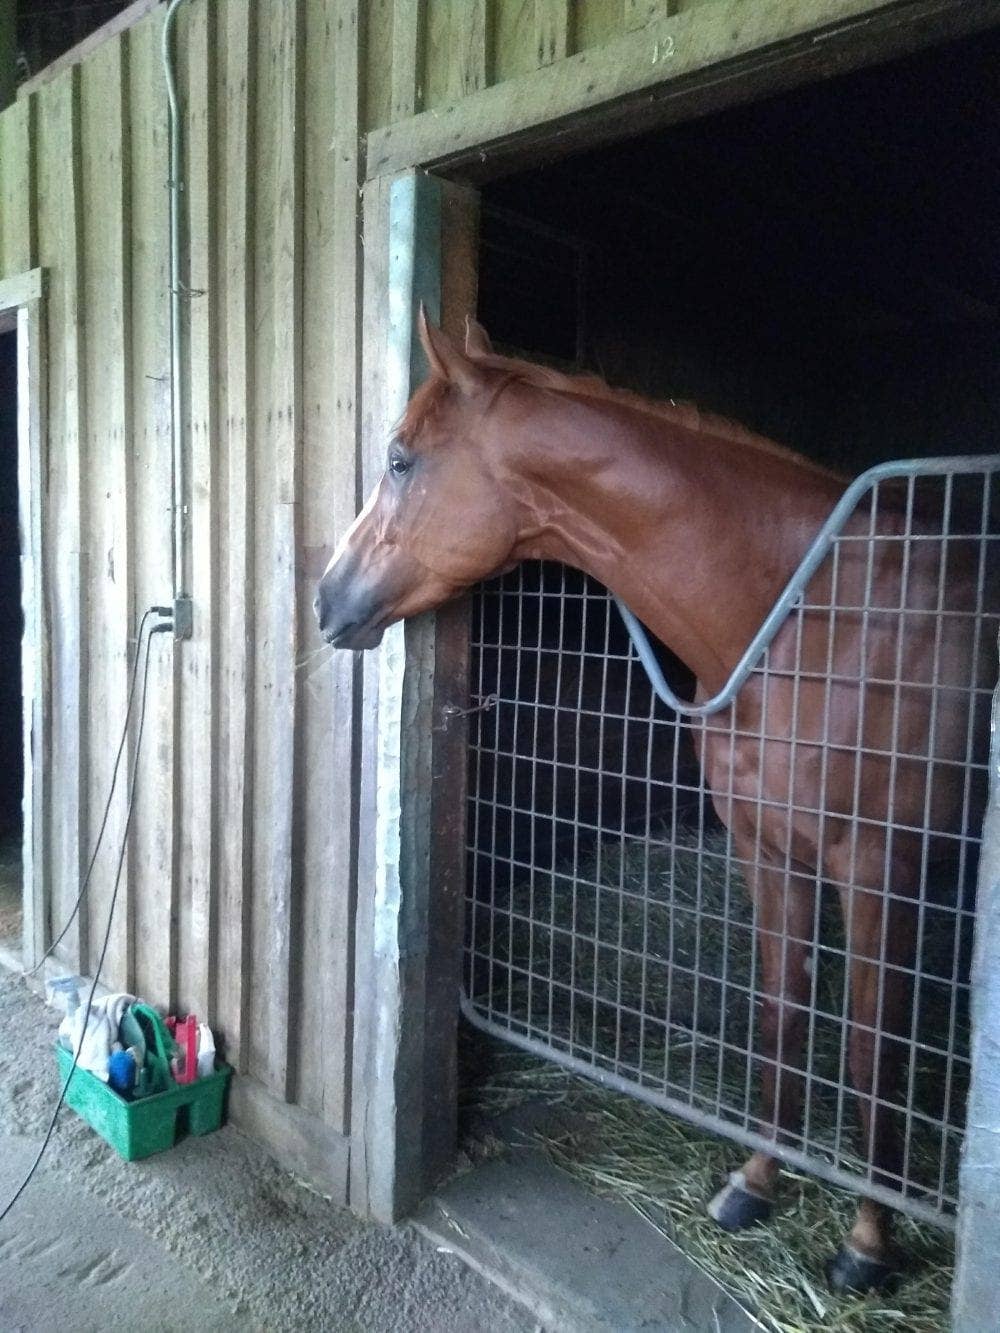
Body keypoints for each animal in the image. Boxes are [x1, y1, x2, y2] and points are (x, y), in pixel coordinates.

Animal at [315, 310, 996, 1293]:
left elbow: (874, 1054)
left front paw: (869, 1242)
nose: (326, 598)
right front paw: (754, 1183)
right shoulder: (765, 847)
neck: (810, 618)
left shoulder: (881, 870)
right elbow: (782, 1011)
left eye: (401, 460)